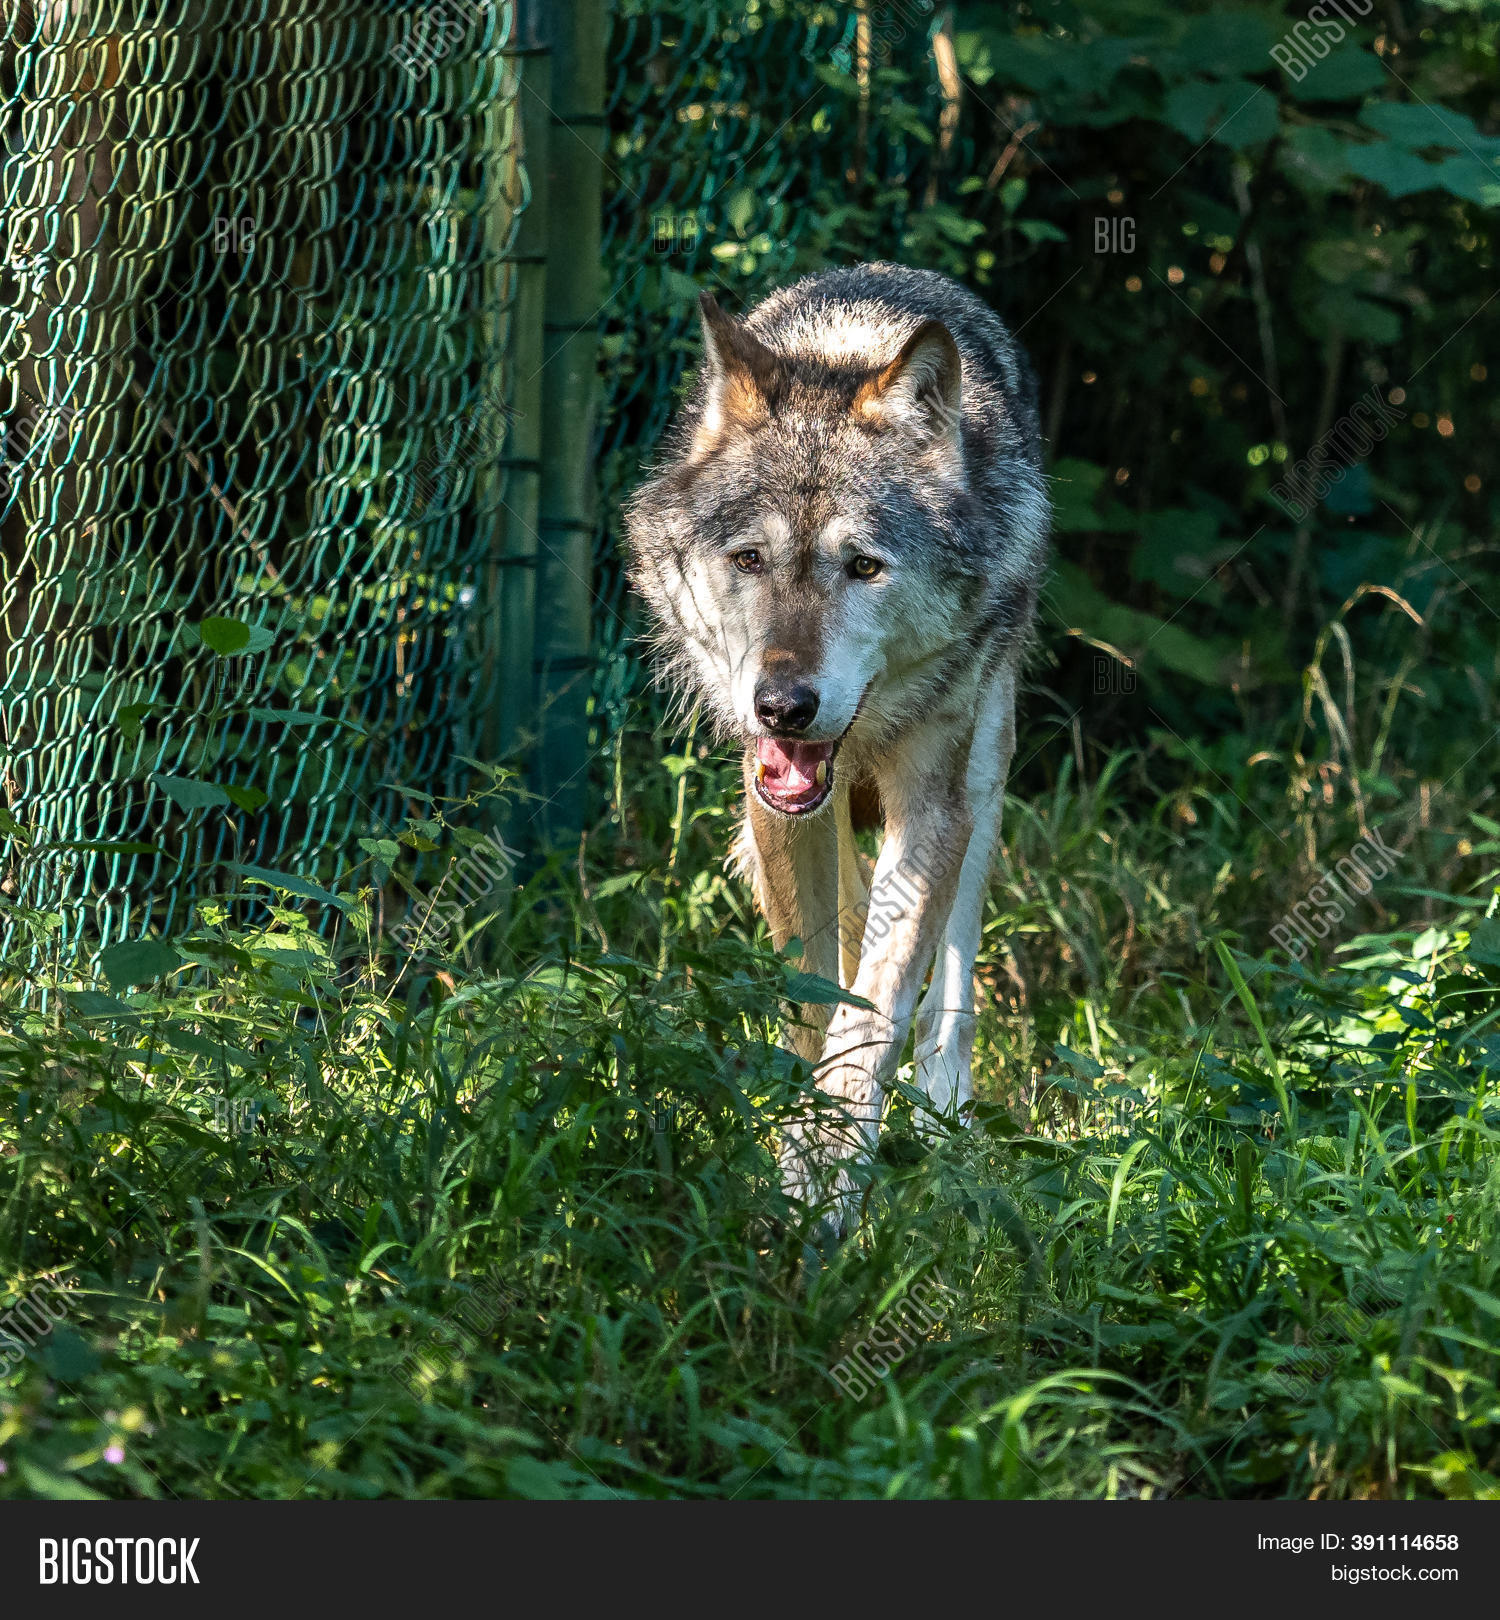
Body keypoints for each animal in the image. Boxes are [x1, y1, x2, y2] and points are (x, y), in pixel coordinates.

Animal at [625, 263, 1049, 1231]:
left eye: (864, 567)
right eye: (749, 559)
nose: (784, 706)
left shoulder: (933, 804)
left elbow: (878, 1006)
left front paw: (824, 1181)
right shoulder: (774, 804)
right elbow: (819, 991)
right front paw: (802, 1155)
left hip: (984, 772)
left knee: (952, 982)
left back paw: (943, 1123)